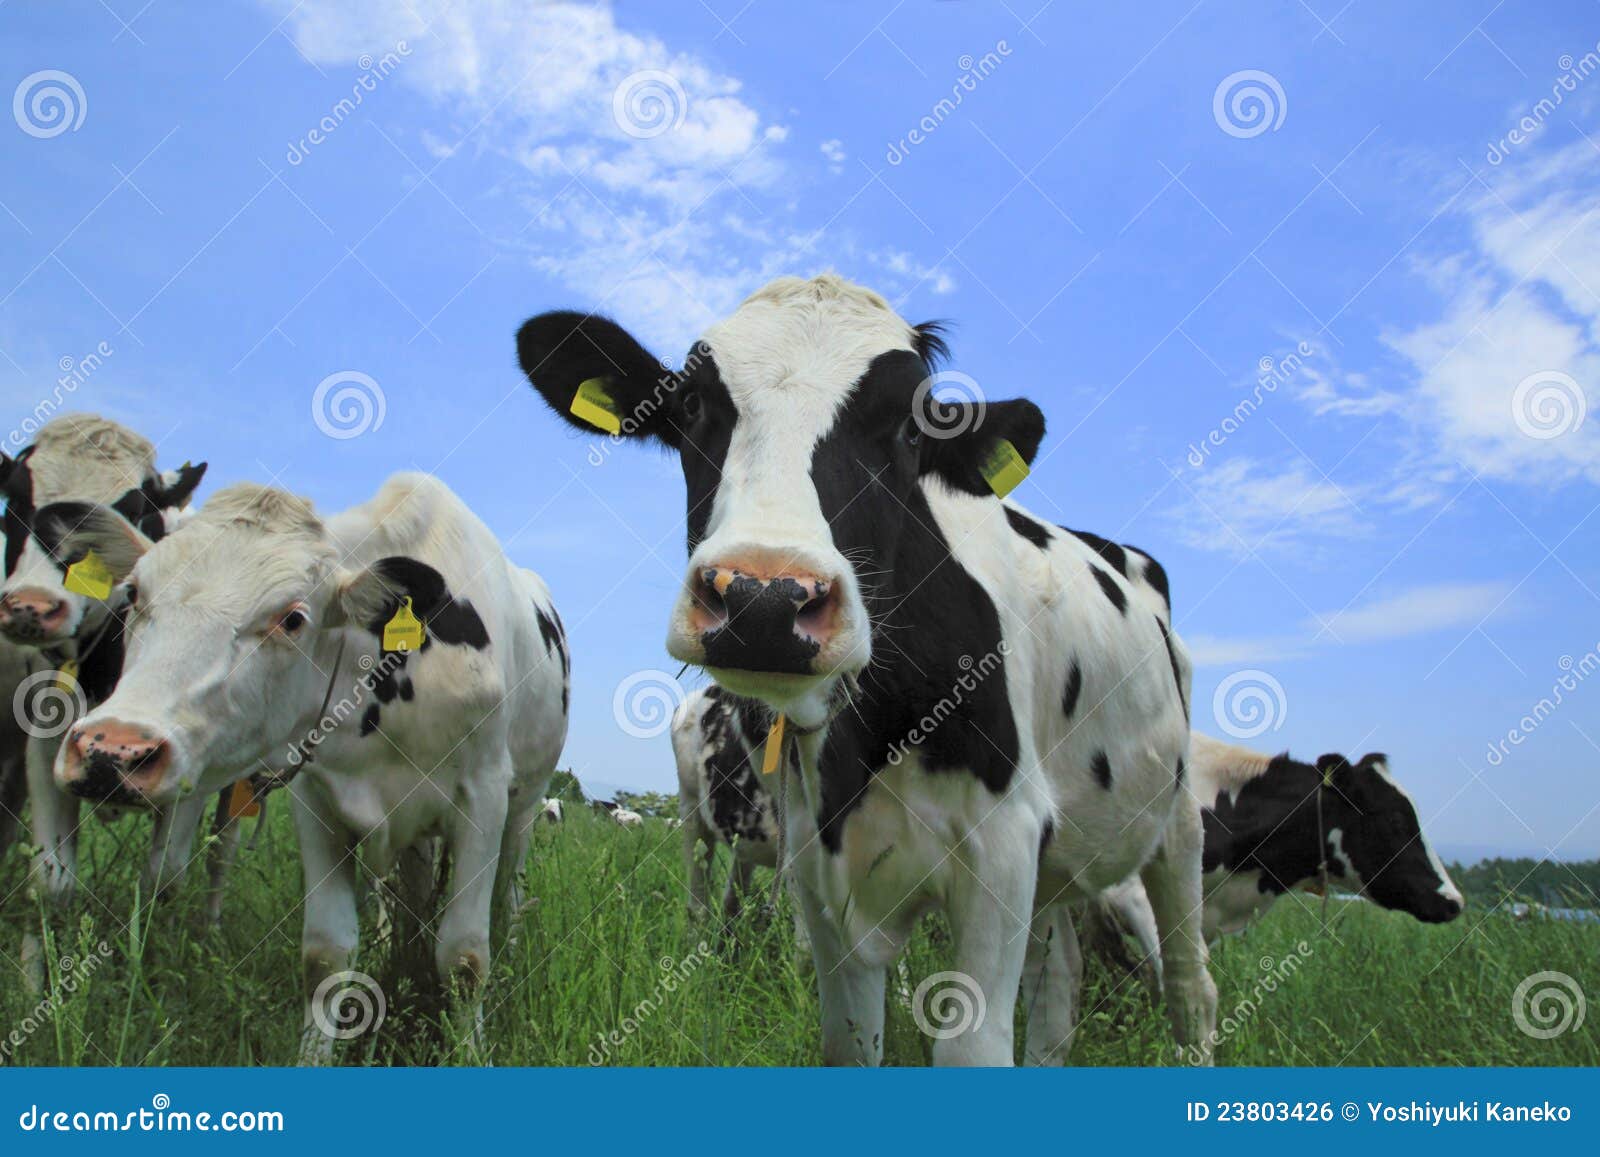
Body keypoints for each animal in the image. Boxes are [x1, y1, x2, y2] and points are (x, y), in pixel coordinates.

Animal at [0, 415, 215, 942]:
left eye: (132, 508)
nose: (31, 607)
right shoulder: (46, 747)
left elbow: (164, 877)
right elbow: (52, 880)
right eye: (14, 498)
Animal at [38, 472, 570, 1062]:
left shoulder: (482, 797)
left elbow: (465, 960)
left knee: (510, 889)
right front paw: (315, 1054)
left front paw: (470, 1052)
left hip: (524, 806)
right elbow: (325, 956)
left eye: (292, 618)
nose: (112, 750)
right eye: (133, 594)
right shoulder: (316, 798)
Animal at [517, 273, 1215, 1066]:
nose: (765, 597)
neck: (874, 737)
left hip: (1177, 822)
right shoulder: (820, 868)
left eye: (912, 428)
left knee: (1189, 980)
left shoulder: (1002, 847)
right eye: (691, 403)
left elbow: (973, 1048)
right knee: (1060, 978)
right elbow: (850, 1041)